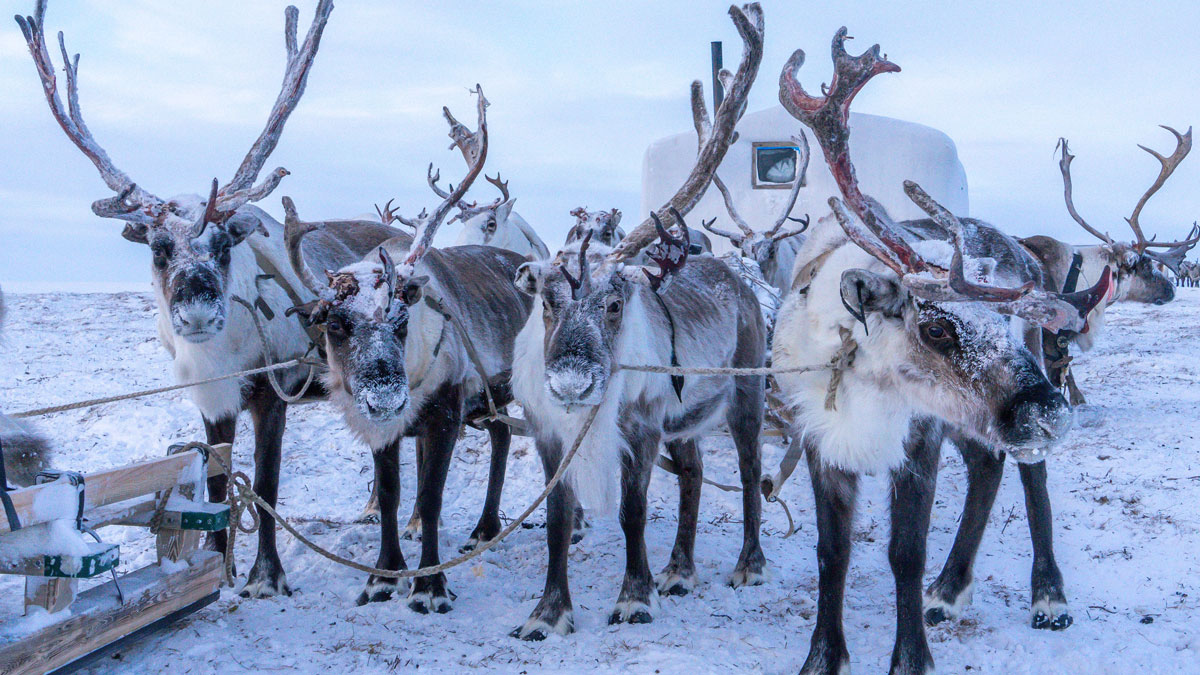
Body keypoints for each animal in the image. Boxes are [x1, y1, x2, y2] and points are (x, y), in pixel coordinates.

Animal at [11, 0, 410, 598]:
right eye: (158, 248)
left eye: (223, 245)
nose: (197, 311)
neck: (223, 356)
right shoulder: (212, 401)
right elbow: (219, 487)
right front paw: (218, 565)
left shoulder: (274, 394)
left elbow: (266, 486)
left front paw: (266, 576)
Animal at [285, 87, 534, 613]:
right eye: (334, 323)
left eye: (401, 320)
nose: (385, 398)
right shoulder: (387, 429)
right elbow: (392, 493)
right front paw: (384, 575)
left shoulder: (445, 414)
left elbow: (432, 496)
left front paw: (430, 585)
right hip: (490, 399)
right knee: (503, 437)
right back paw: (485, 529)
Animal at [506, 3, 765, 641]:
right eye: (546, 300)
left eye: (616, 301)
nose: (572, 383)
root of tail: (739, 282)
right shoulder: (548, 432)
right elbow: (557, 516)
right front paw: (548, 612)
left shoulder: (643, 426)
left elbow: (632, 510)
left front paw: (633, 597)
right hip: (687, 415)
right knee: (694, 472)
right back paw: (679, 569)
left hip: (747, 394)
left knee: (750, 471)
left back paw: (747, 565)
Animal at [772, 28, 1113, 674]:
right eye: (935, 329)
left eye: (1005, 320)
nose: (1050, 412)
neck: (862, 374)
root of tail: (1023, 250)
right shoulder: (818, 439)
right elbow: (832, 552)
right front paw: (823, 658)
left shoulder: (919, 437)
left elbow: (905, 553)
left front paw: (910, 660)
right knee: (988, 465)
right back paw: (950, 591)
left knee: (1029, 474)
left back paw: (1047, 596)